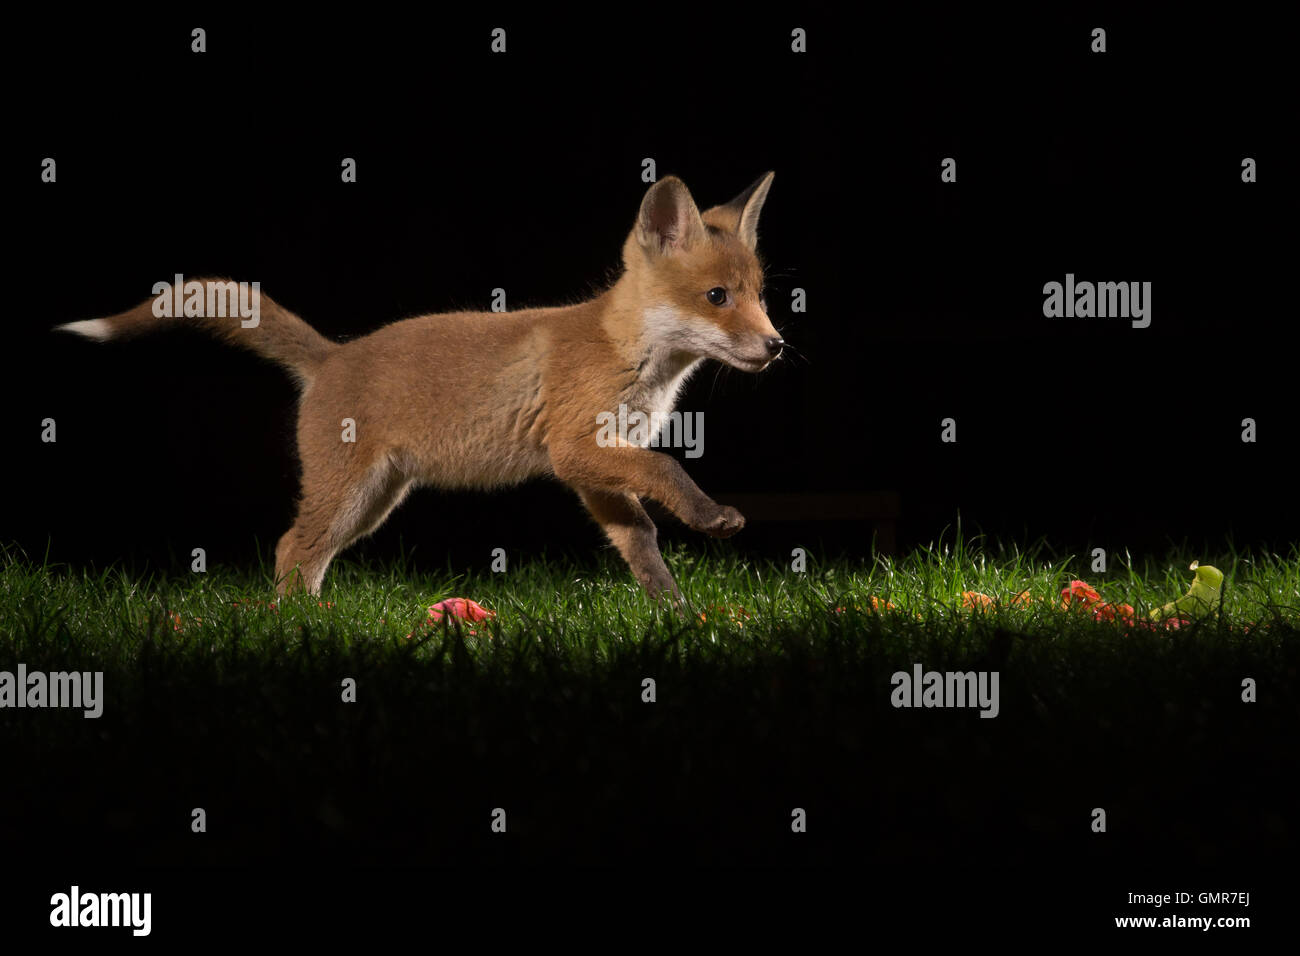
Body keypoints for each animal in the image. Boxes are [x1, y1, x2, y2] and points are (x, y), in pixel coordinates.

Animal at [57, 172, 785, 602]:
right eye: (717, 298)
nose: (778, 346)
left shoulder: (592, 470)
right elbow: (667, 469)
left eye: (760, 297)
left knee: (306, 552)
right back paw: (296, 627)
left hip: (376, 500)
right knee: (292, 547)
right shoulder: (576, 449)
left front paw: (673, 611)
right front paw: (711, 518)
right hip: (348, 494)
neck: (632, 359)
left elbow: (641, 540)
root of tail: (333, 355)